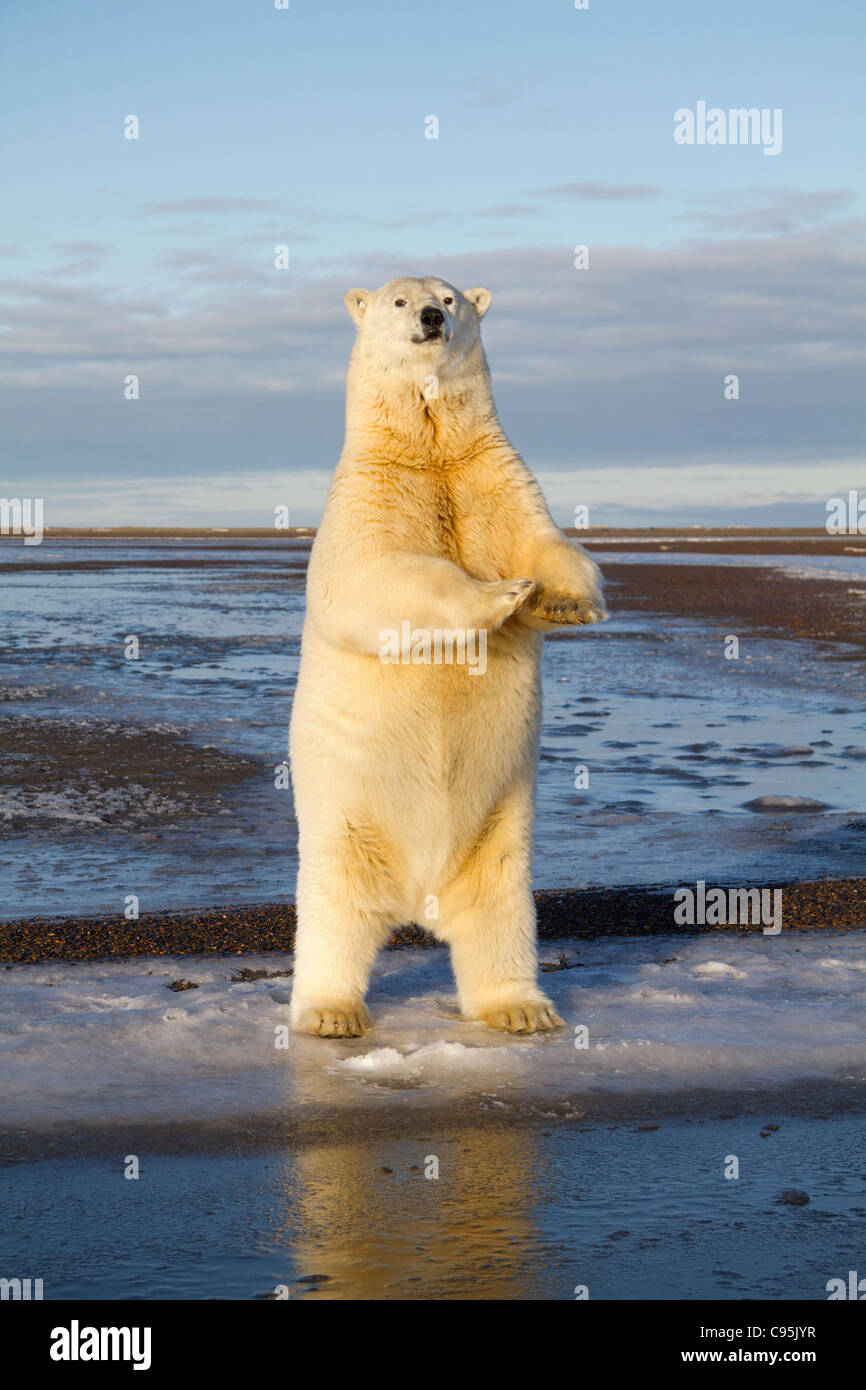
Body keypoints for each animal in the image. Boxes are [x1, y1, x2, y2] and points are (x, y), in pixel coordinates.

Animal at [289, 276, 605, 1038]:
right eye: (399, 302)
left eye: (451, 297)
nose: (432, 317)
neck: (430, 446)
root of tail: (419, 897)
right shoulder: (370, 492)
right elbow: (377, 575)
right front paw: (500, 596)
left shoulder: (494, 475)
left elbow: (543, 539)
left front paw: (563, 600)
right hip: (345, 832)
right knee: (332, 919)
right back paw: (329, 1012)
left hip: (498, 840)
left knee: (500, 918)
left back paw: (522, 1008)